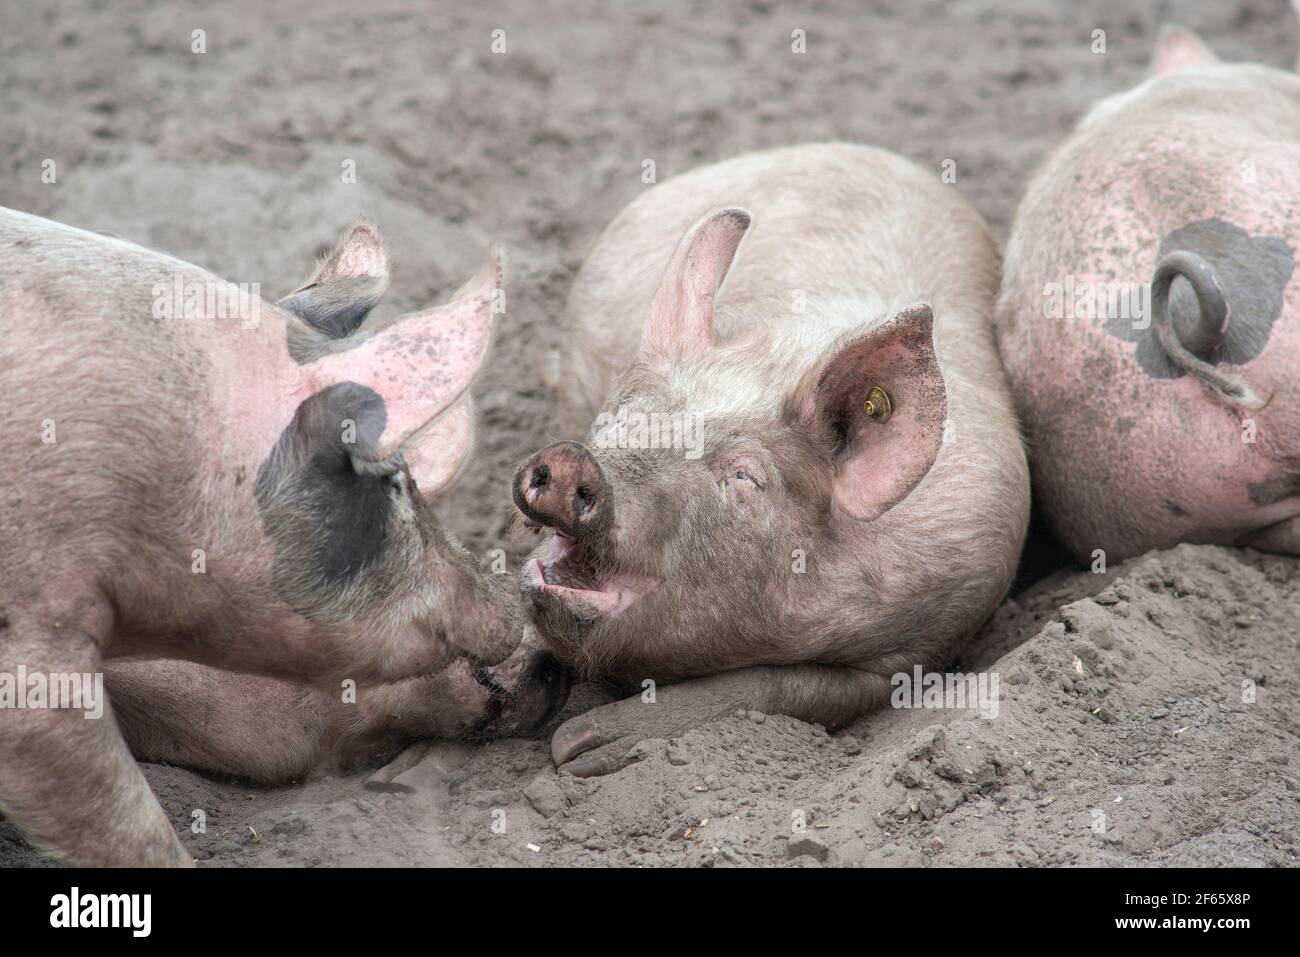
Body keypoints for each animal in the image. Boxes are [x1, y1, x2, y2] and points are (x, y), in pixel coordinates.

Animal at [512, 143, 1030, 776]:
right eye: (623, 414)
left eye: (743, 476)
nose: (572, 462)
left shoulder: (927, 636)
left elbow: (780, 687)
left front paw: (577, 749)